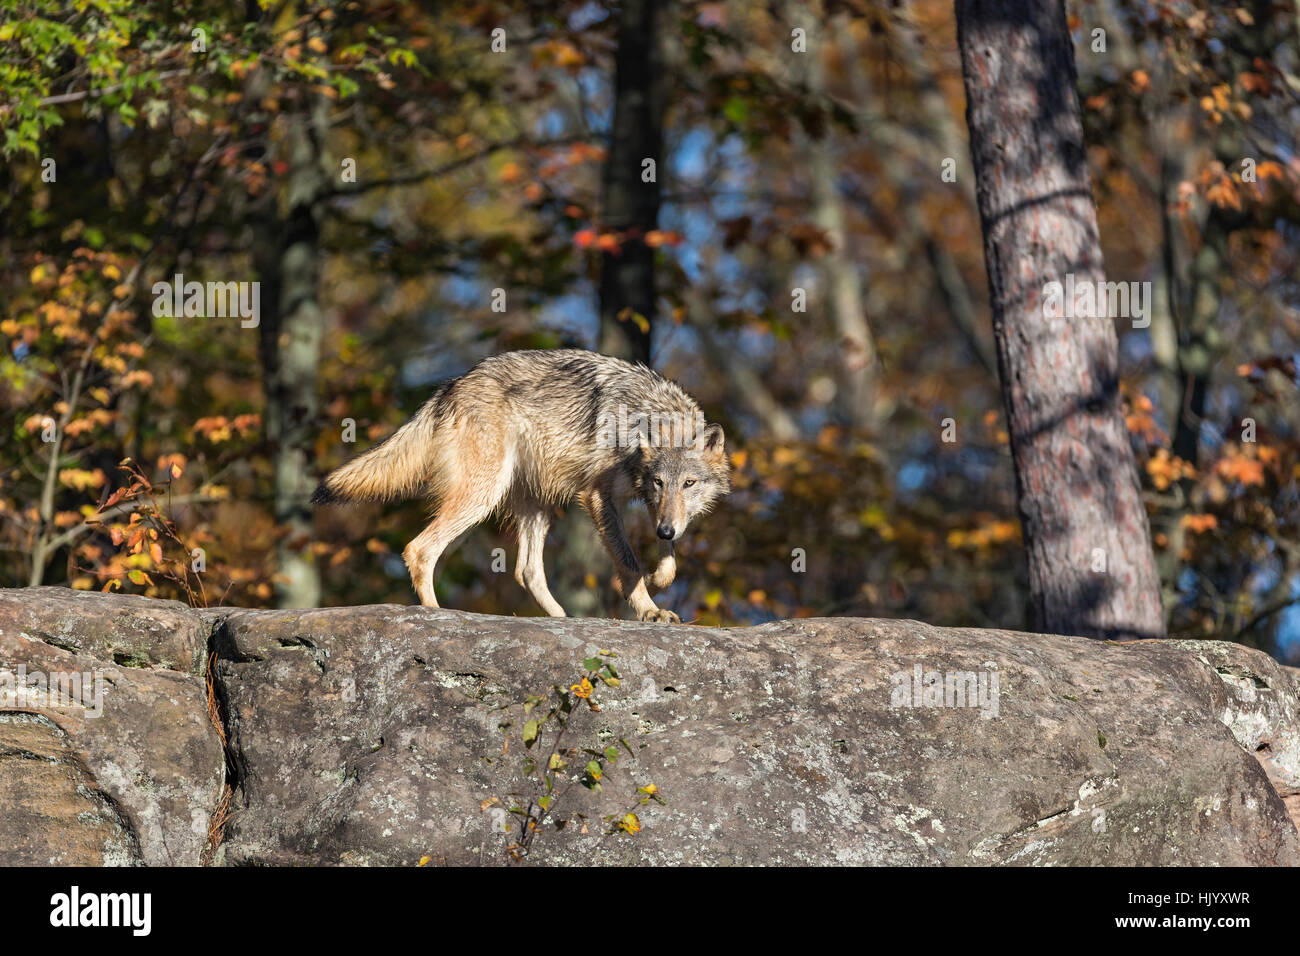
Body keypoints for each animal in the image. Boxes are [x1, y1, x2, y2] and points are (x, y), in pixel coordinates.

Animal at [312, 349, 731, 622]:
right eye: (659, 481)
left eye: (688, 483)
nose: (665, 530)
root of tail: (453, 383)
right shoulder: (598, 496)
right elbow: (628, 564)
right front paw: (650, 610)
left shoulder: (652, 508)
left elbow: (669, 557)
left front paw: (660, 575)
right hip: (484, 495)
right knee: (419, 549)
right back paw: (435, 614)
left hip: (536, 502)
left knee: (525, 571)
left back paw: (561, 619)